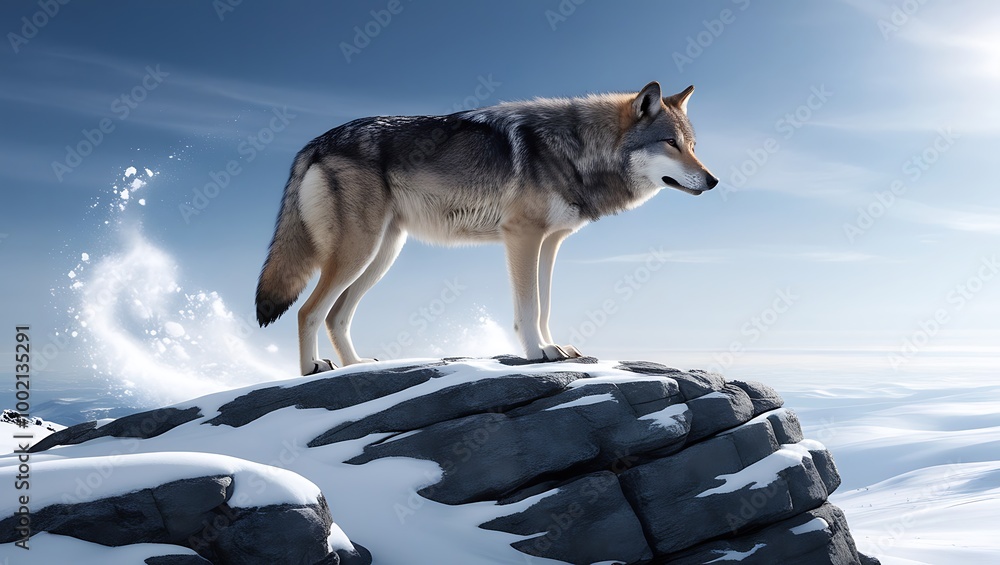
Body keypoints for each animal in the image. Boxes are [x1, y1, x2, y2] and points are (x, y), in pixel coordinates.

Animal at [256, 81, 717, 375]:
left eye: (693, 146)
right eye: (670, 143)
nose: (713, 181)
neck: (576, 149)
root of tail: (314, 143)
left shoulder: (549, 243)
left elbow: (545, 305)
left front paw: (554, 347)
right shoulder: (522, 237)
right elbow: (527, 306)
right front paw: (536, 352)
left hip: (382, 254)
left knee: (336, 315)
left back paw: (353, 367)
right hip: (359, 252)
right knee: (308, 311)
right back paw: (312, 369)